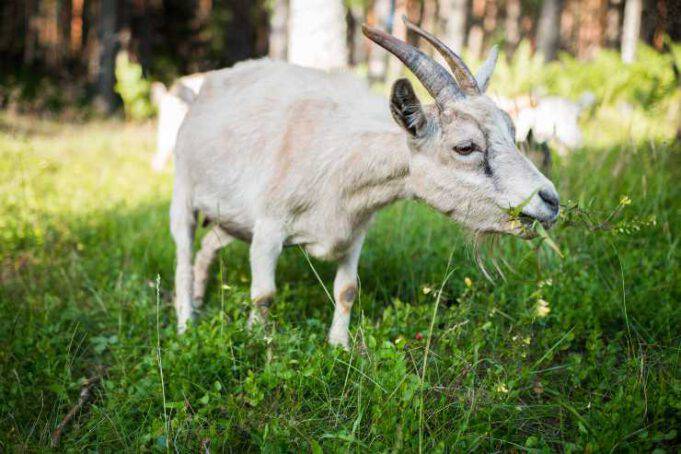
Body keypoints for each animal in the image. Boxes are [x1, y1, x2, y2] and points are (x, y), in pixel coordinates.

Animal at [170, 18, 561, 348]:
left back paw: (201, 298)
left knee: (208, 246)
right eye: (465, 147)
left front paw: (339, 348)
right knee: (184, 255)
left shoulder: (355, 230)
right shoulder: (268, 229)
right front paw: (259, 345)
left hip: (231, 219)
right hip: (183, 192)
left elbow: (347, 290)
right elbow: (264, 295)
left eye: (512, 131)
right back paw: (186, 323)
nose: (550, 200)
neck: (339, 157)